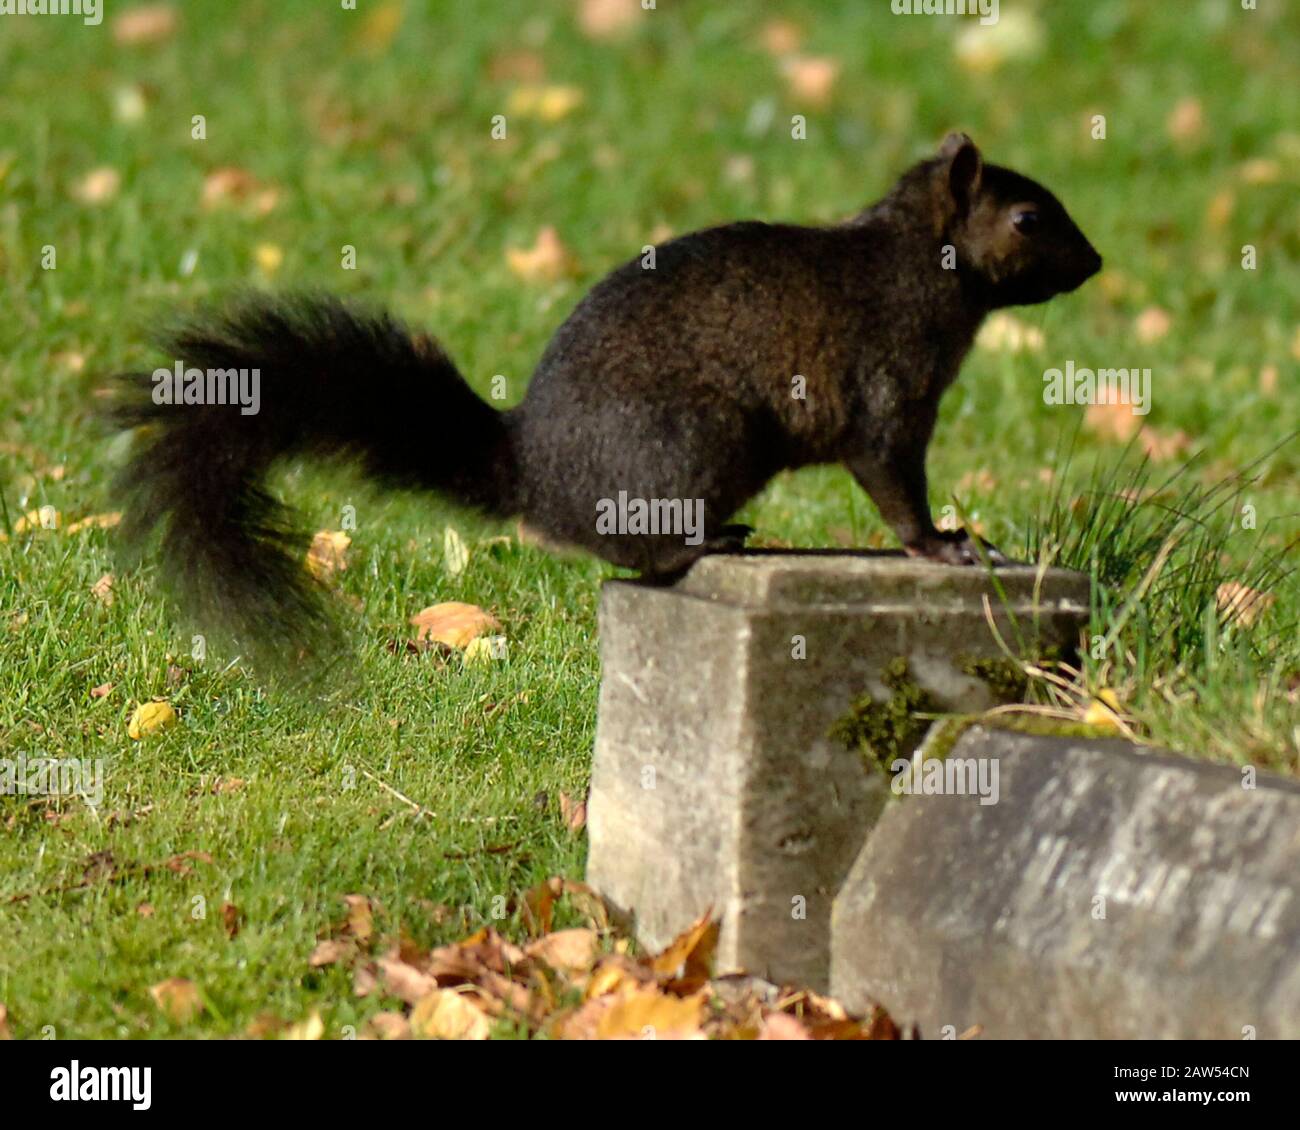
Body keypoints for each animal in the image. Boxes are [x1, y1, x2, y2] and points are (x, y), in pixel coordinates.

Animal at [109, 133, 1100, 665]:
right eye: (1028, 218)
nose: (1095, 263)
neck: (916, 263)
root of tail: (533, 475)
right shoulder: (887, 391)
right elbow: (894, 482)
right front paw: (944, 546)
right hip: (697, 440)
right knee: (636, 555)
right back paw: (705, 541)